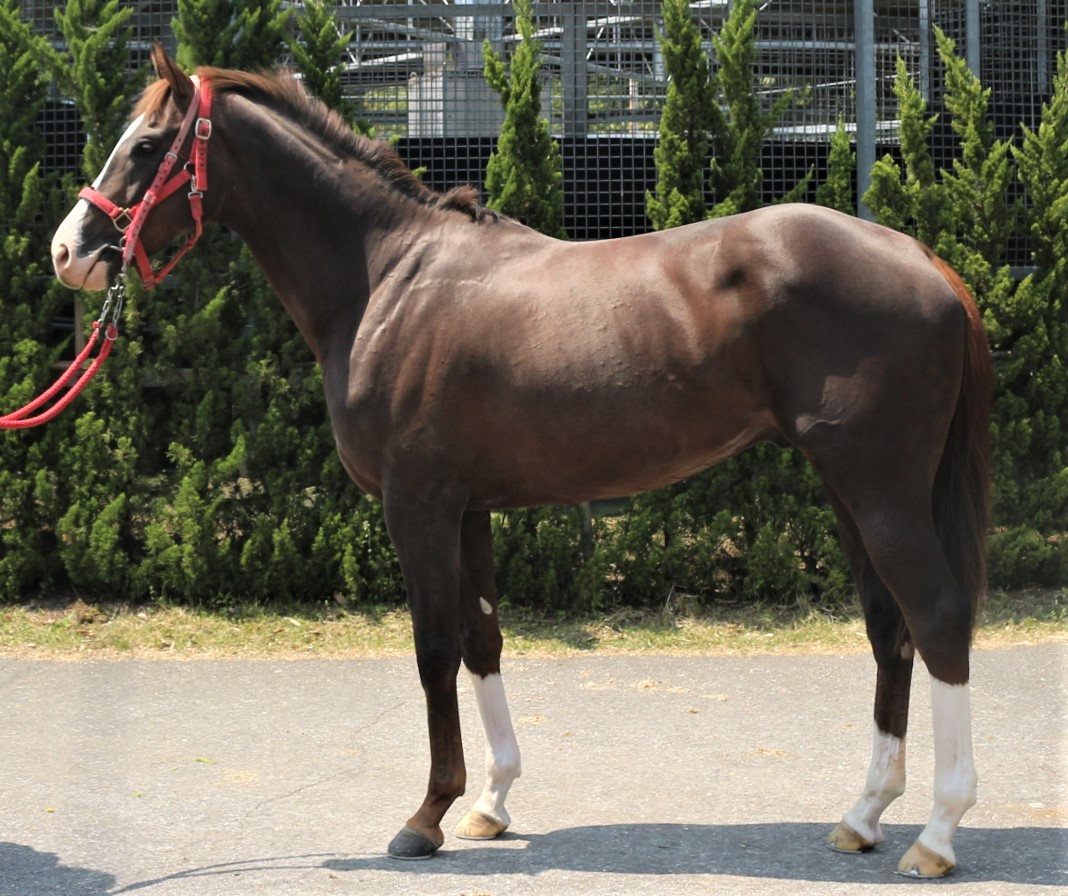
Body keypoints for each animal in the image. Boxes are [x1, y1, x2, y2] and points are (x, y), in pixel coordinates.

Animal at [51, 45, 991, 878]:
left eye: (146, 144)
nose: (70, 250)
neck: (388, 279)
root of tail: (923, 260)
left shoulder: (418, 505)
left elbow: (434, 648)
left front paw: (425, 816)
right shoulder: (468, 509)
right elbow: (483, 640)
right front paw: (490, 803)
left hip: (880, 489)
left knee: (938, 617)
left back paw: (936, 836)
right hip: (849, 488)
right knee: (890, 627)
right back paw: (862, 816)